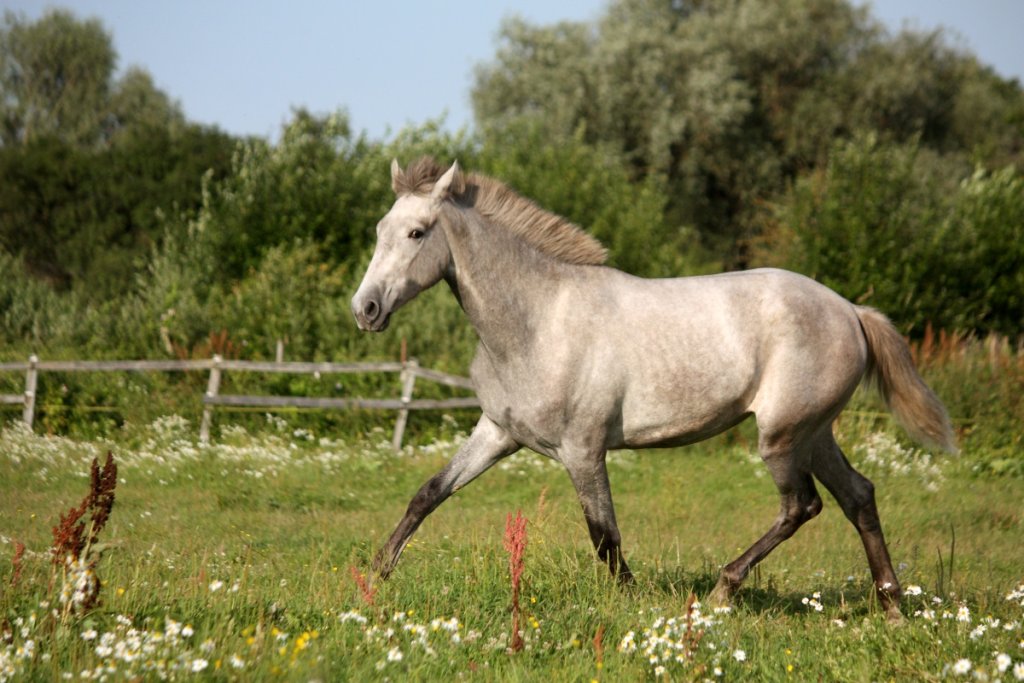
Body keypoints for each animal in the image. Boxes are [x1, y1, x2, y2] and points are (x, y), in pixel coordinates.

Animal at [351, 157, 955, 620]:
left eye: (417, 233)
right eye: (379, 230)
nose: (366, 309)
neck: (537, 321)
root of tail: (850, 311)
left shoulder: (583, 450)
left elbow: (603, 533)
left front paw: (631, 601)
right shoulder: (498, 433)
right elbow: (429, 493)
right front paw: (375, 575)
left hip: (782, 437)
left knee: (800, 506)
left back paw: (723, 590)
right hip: (814, 433)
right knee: (858, 496)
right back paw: (892, 606)